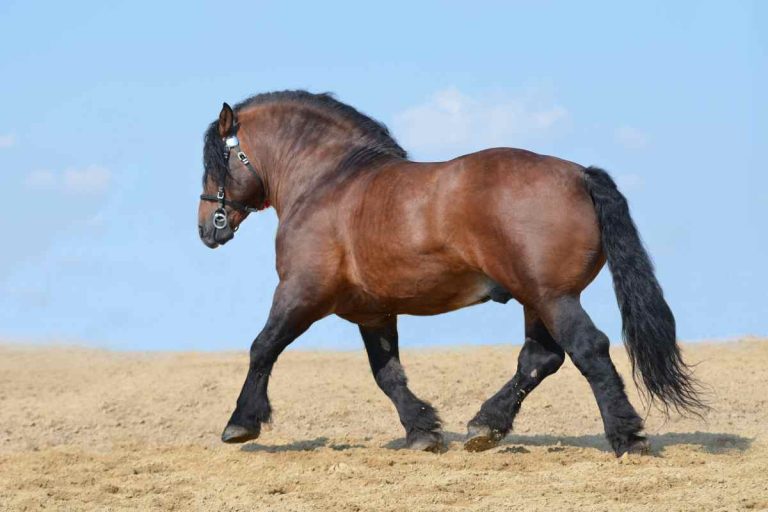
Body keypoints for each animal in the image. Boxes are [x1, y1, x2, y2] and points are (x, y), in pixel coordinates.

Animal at [197, 90, 704, 455]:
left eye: (213, 161)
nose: (207, 228)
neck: (330, 183)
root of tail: (580, 175)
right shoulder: (373, 313)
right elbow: (388, 374)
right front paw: (422, 430)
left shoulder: (302, 292)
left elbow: (263, 347)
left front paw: (240, 423)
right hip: (537, 299)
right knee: (540, 359)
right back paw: (485, 425)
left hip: (553, 297)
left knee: (588, 350)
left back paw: (626, 436)